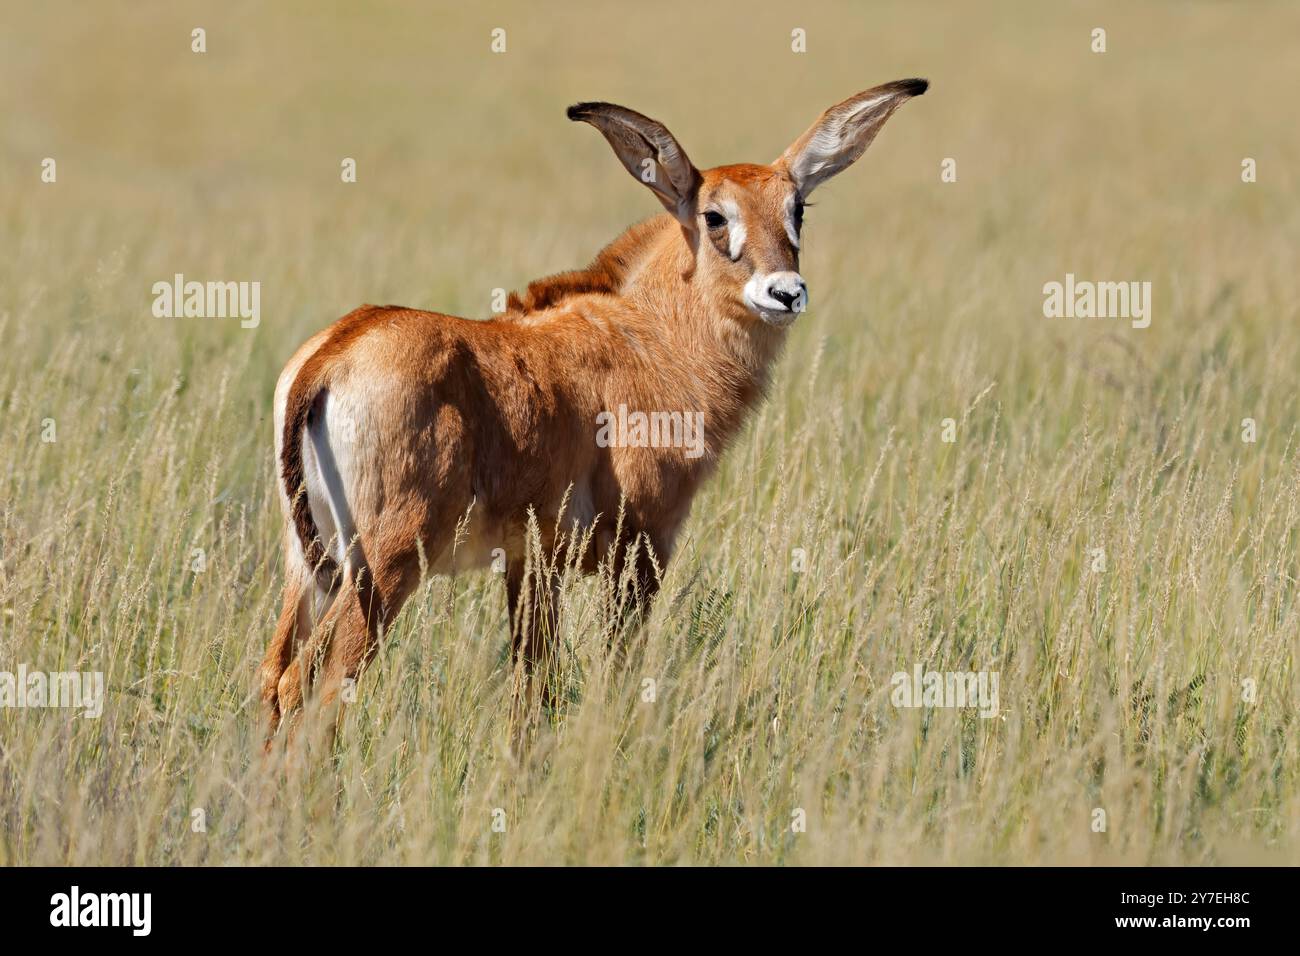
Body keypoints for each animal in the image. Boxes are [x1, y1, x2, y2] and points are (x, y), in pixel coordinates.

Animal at [261, 78, 928, 744]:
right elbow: (615, 675)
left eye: (798, 209)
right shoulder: (642, 547)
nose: (785, 293)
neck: (650, 332)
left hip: (313, 567)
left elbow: (532, 691)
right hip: (385, 564)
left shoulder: (532, 563)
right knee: (311, 684)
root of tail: (333, 354)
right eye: (715, 216)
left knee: (273, 676)